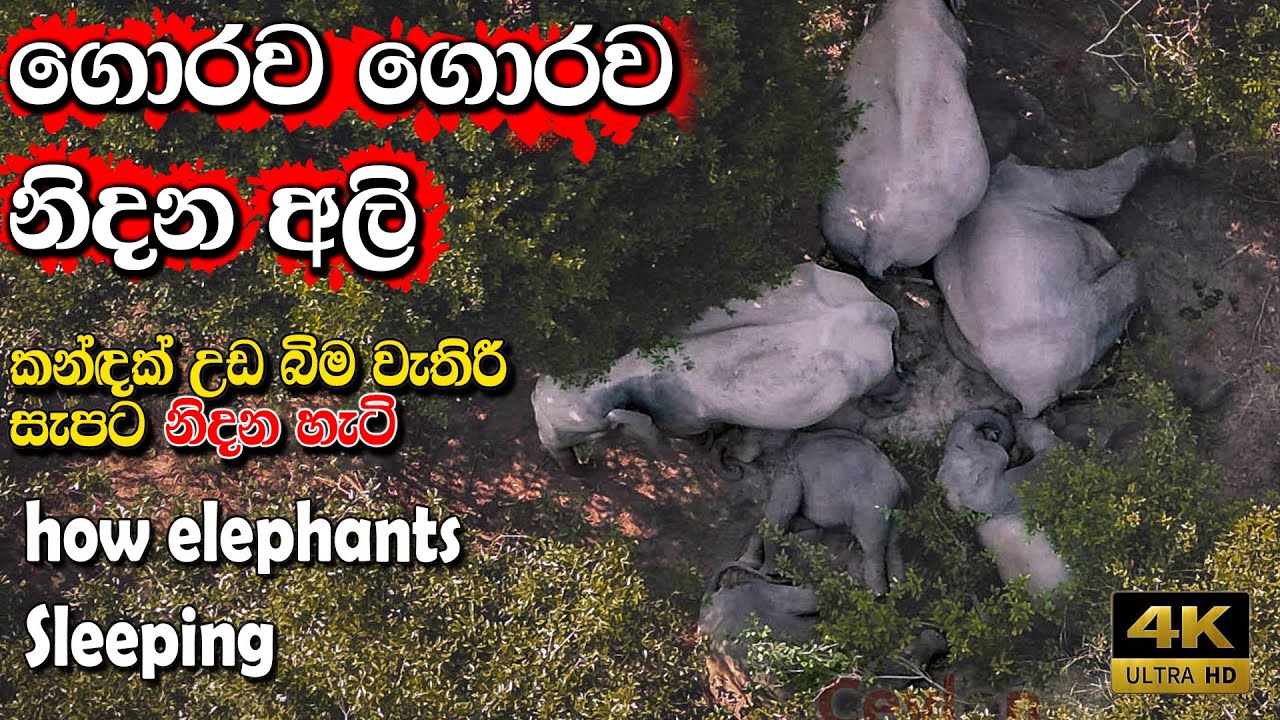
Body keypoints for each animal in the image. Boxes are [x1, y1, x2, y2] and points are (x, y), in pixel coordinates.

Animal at [532, 263, 900, 469]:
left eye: (578, 432)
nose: (591, 465)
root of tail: (877, 309)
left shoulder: (680, 413)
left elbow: (689, 432)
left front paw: (704, 444)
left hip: (872, 367)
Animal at [721, 428, 908, 595]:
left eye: (738, 432)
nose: (734, 466)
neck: (791, 439)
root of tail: (899, 480)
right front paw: (749, 562)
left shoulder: (789, 474)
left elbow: (778, 516)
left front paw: (768, 573)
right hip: (894, 507)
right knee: (893, 543)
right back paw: (898, 588)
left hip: (872, 507)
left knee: (873, 548)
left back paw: (877, 595)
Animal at [936, 132, 1197, 417]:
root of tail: (1030, 399)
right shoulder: (1031, 181)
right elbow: (1104, 195)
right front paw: (1183, 148)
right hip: (1082, 328)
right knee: (1132, 275)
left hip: (962, 343)